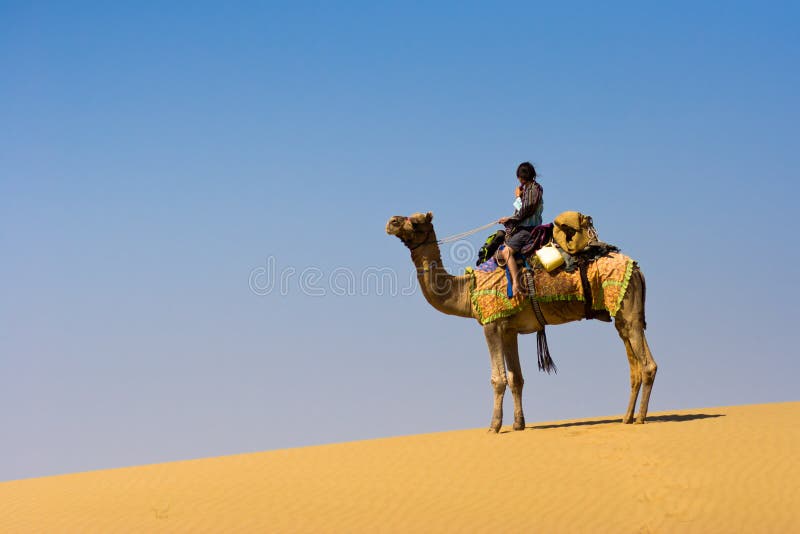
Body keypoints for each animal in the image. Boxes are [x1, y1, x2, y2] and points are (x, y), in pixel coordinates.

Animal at [386, 212, 657, 433]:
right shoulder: (509, 330)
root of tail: (638, 269)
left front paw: (494, 426)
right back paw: (626, 418)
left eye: (416, 221)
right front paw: (518, 424)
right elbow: (516, 378)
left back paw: (640, 418)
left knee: (647, 364)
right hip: (621, 311)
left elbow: (498, 379)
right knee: (633, 362)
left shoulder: (491, 324)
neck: (466, 290)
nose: (391, 222)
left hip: (627, 304)